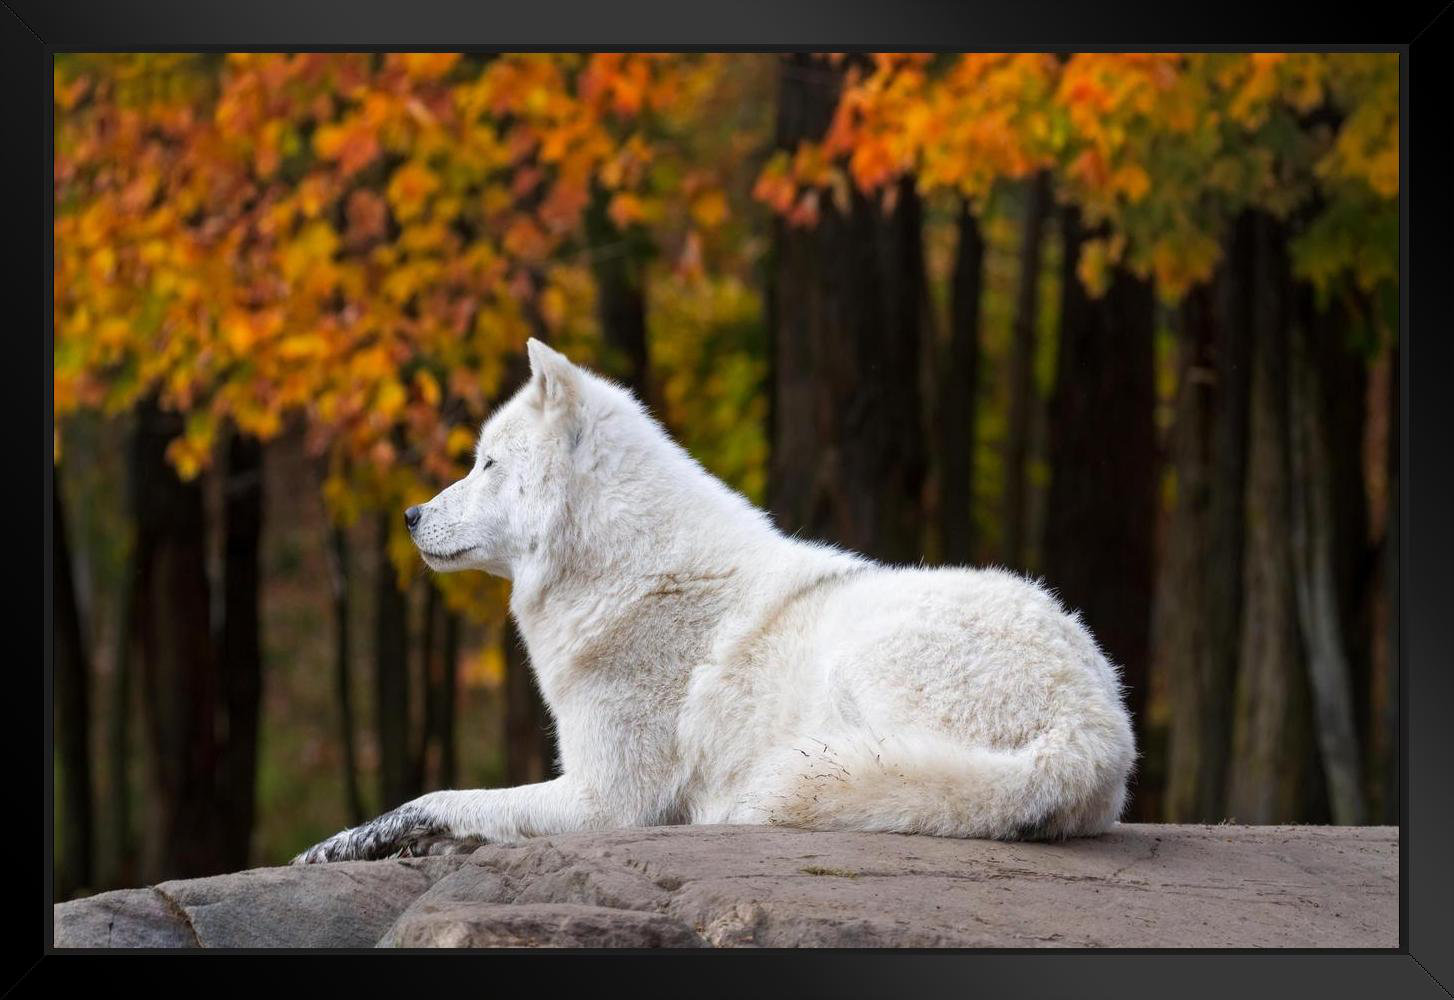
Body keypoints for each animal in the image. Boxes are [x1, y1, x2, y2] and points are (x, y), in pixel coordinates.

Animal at [293, 339, 1136, 864]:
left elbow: (439, 795)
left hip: (870, 664)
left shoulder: (604, 802)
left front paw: (348, 841)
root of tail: (1093, 731)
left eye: (488, 464)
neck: (621, 575)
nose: (408, 516)